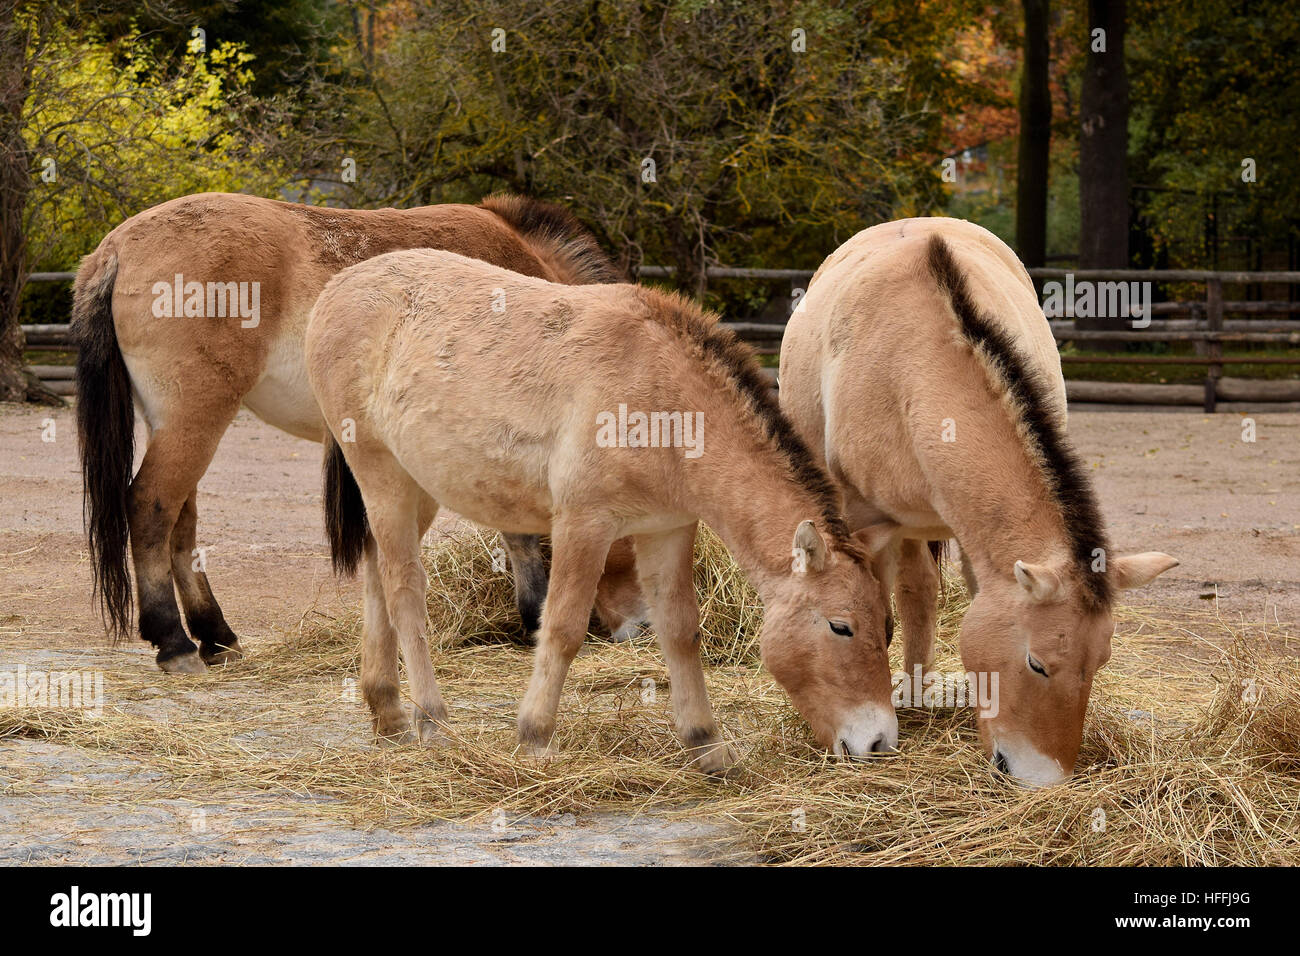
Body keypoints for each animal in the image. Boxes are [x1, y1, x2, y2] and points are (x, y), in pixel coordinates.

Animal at [71, 191, 646, 674]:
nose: (639, 628)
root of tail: (118, 247)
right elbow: (517, 533)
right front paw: (535, 619)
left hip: (176, 423)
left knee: (180, 523)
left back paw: (216, 636)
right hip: (196, 417)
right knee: (150, 507)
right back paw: (174, 641)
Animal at [306, 248, 897, 770]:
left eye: (887, 628)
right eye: (840, 627)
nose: (877, 741)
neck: (665, 404)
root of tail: (337, 289)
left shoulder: (667, 529)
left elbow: (680, 630)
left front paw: (707, 745)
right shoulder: (583, 524)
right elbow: (563, 627)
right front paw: (535, 737)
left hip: (417, 487)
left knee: (376, 573)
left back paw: (388, 713)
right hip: (382, 476)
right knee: (404, 589)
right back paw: (432, 722)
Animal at [779, 217, 1178, 786]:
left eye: (1099, 662)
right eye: (1037, 664)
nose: (1044, 779)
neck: (917, 362)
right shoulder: (863, 523)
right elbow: (871, 615)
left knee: (920, 589)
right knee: (913, 591)